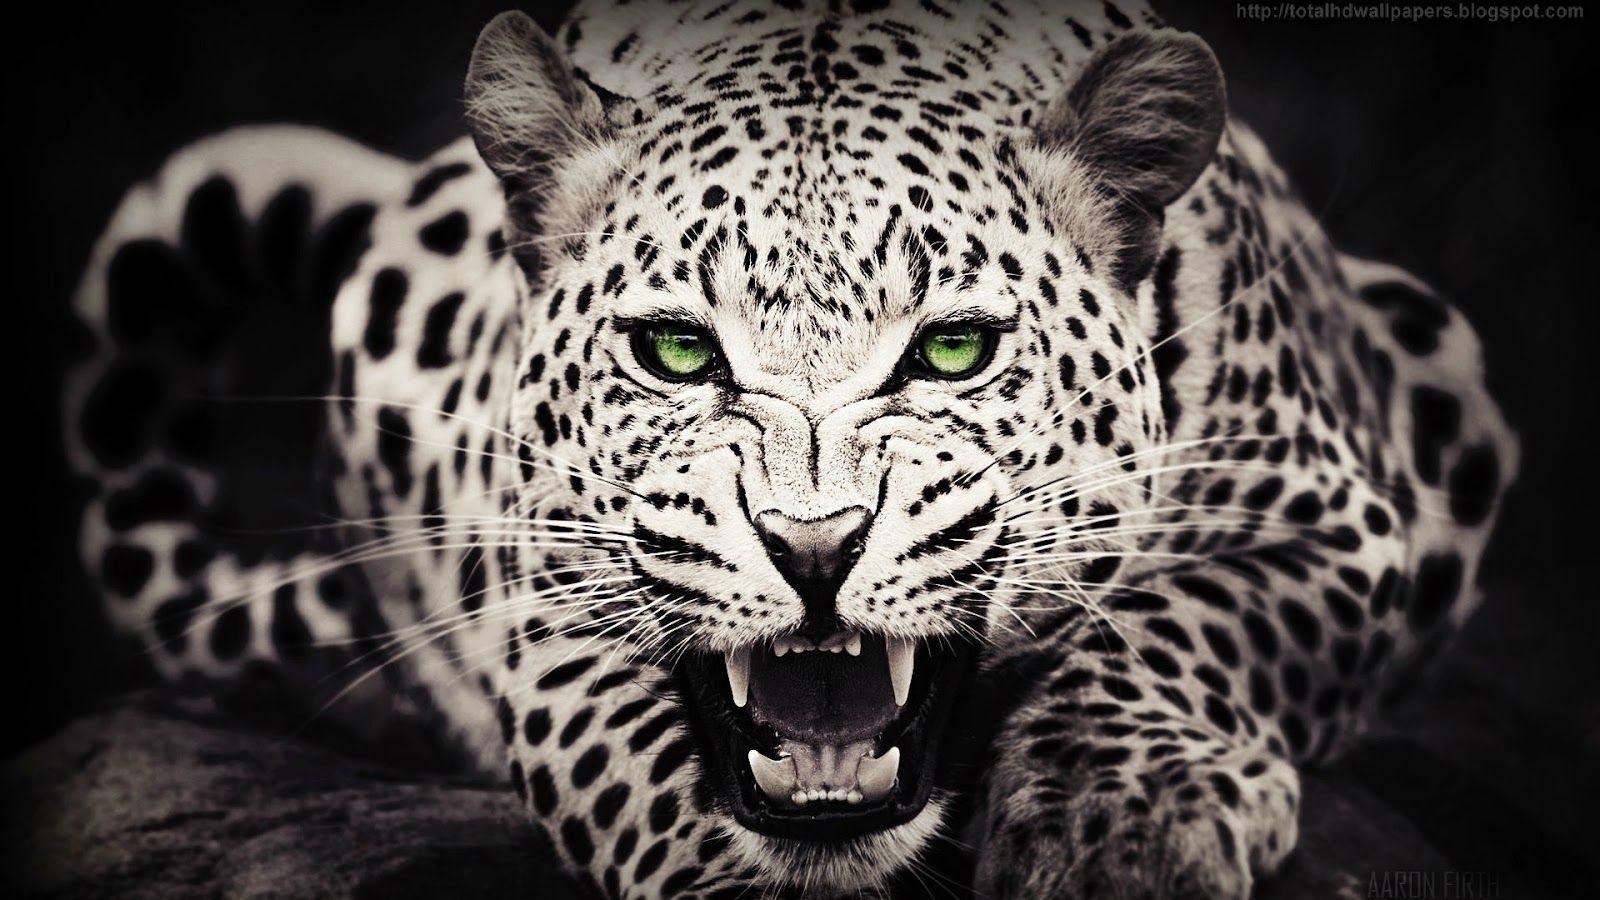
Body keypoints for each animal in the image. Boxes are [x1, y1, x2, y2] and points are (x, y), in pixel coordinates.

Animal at [63, 0, 1518, 896]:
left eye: (951, 351)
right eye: (676, 351)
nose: (813, 548)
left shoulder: (1343, 516)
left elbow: (1192, 620)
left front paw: (1126, 822)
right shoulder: (542, 597)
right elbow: (631, 762)